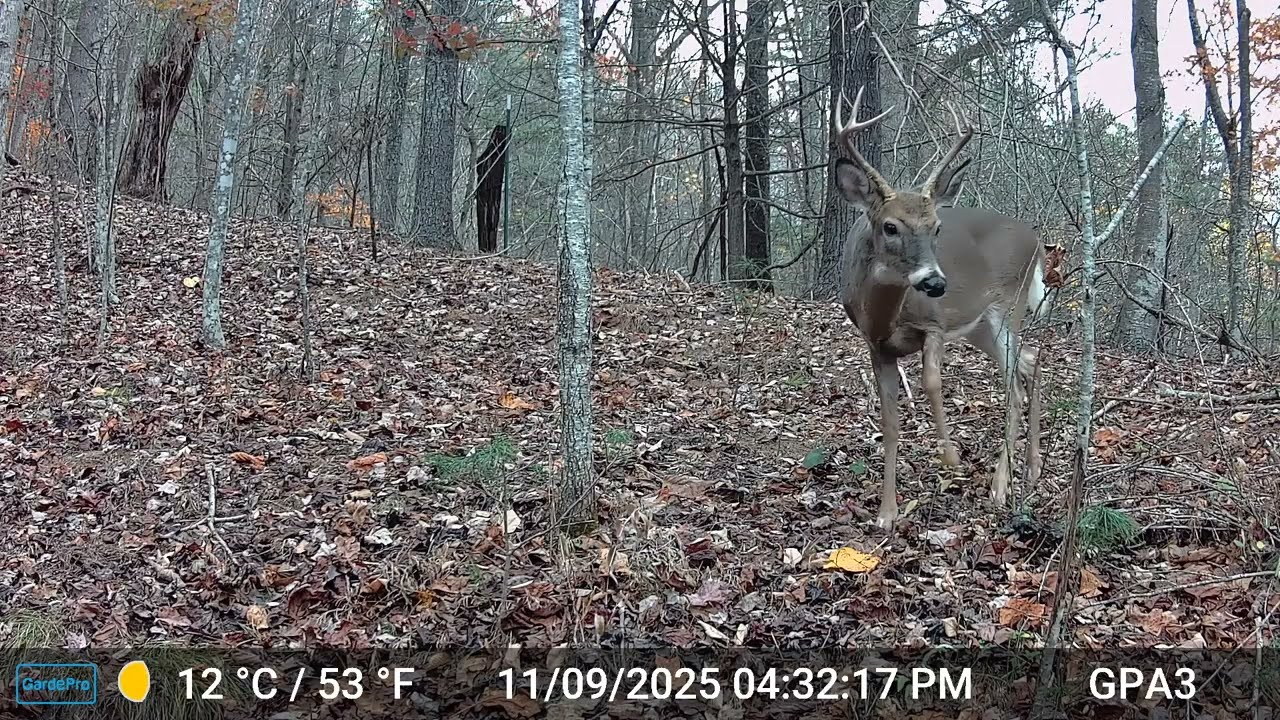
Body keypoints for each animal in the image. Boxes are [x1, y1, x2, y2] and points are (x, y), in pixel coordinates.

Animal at [831, 88, 1045, 530]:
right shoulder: (875, 344)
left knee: (1014, 385)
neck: (886, 312)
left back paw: (1000, 486)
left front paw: (950, 456)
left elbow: (931, 382)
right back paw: (1032, 467)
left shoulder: (935, 324)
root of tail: (1038, 242)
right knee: (1031, 361)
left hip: (1007, 309)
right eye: (890, 226)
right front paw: (887, 513)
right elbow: (890, 422)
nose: (935, 283)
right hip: (981, 327)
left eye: (937, 228)